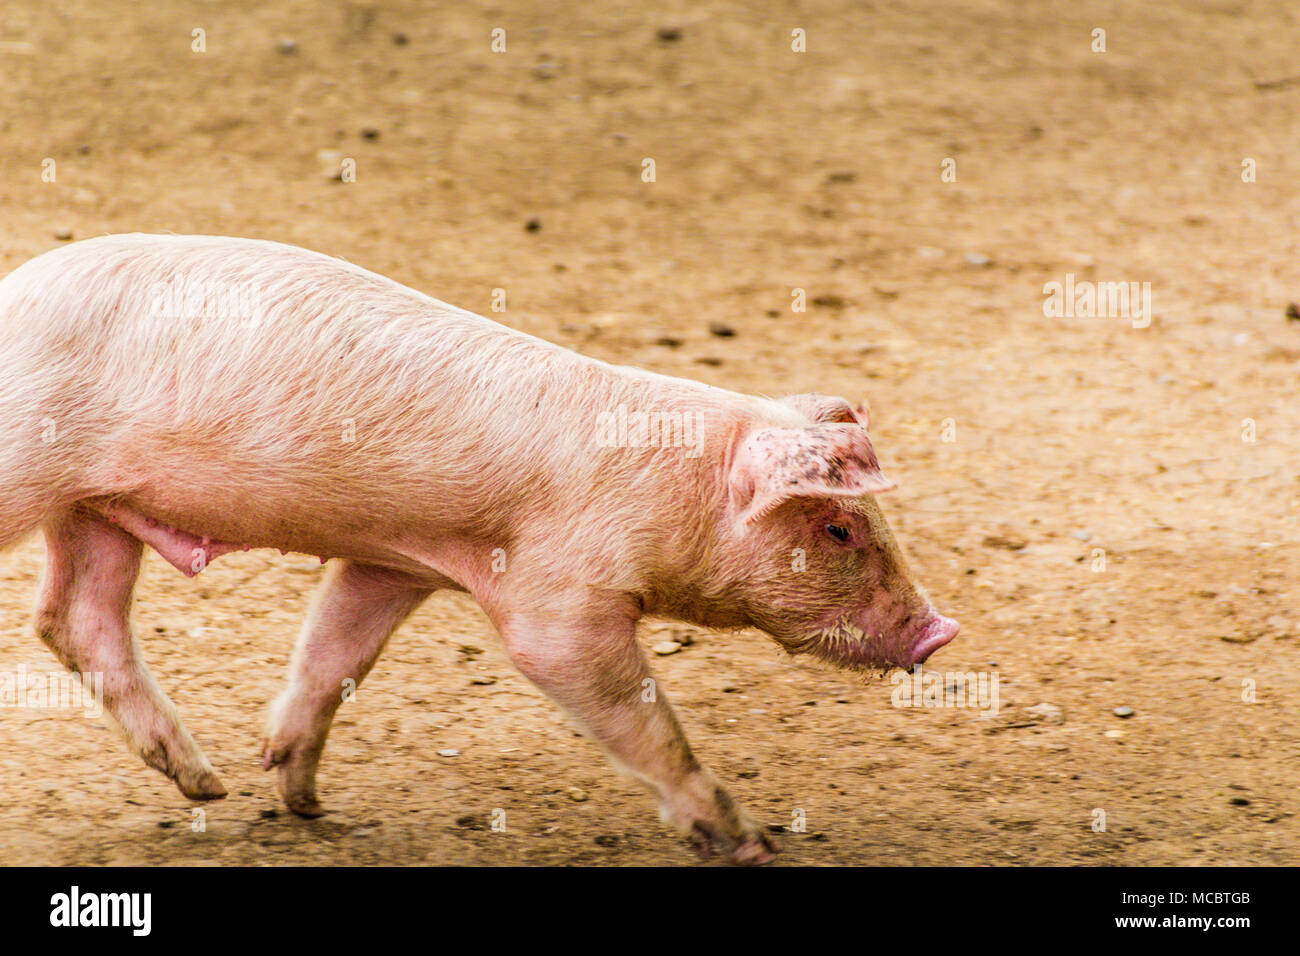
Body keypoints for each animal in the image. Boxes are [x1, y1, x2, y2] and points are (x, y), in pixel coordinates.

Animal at [0, 234, 957, 864]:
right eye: (837, 527)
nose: (940, 629)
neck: (670, 490)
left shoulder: (391, 561)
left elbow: (334, 651)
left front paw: (296, 793)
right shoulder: (560, 596)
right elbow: (624, 703)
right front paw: (750, 843)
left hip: (96, 508)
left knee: (75, 617)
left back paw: (205, 785)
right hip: (31, 467)